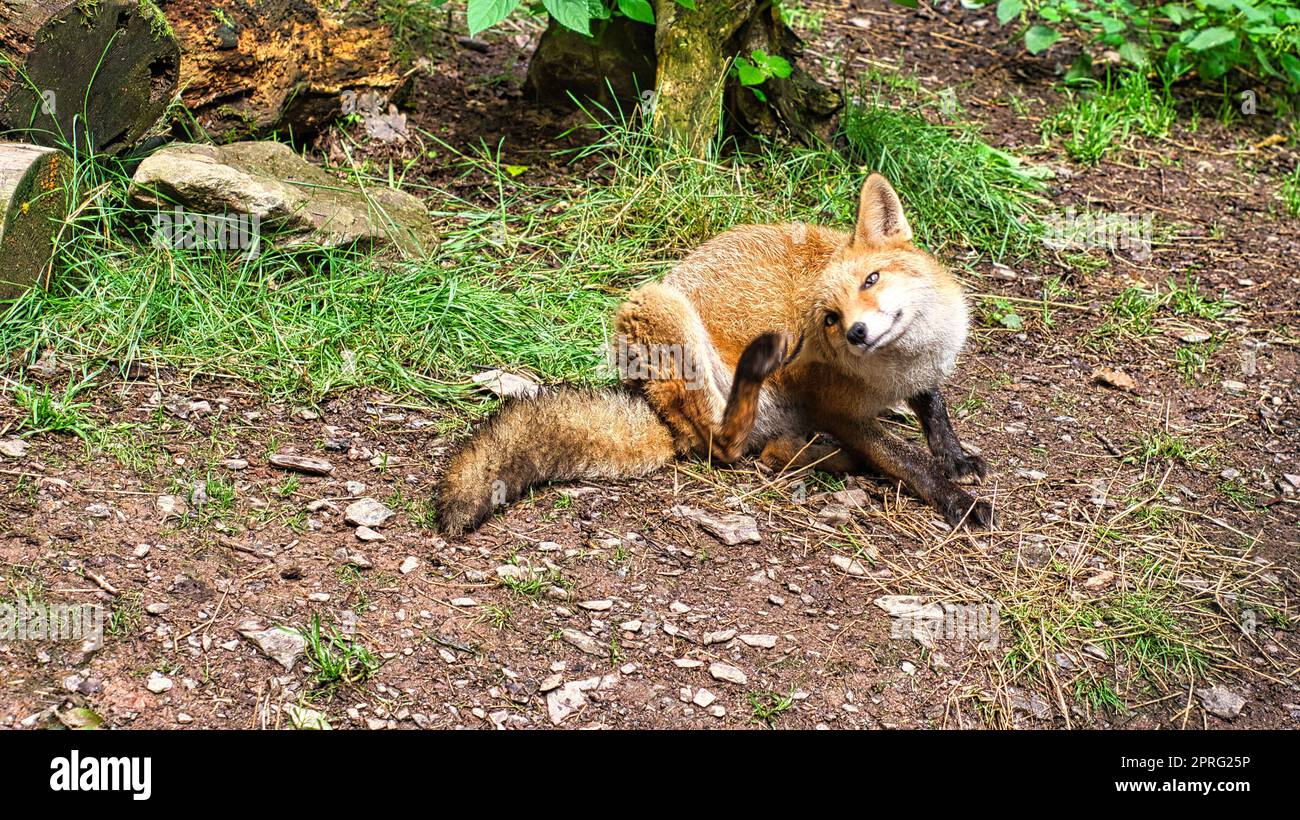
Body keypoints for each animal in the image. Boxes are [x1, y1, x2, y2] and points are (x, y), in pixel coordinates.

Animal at [437, 173, 993, 534]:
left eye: (872, 279)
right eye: (830, 318)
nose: (856, 332)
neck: (897, 368)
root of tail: (653, 410)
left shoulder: (920, 373)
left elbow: (934, 409)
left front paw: (955, 456)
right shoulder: (837, 408)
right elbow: (907, 460)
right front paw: (957, 500)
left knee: (766, 452)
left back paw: (830, 456)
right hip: (665, 314)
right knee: (722, 446)